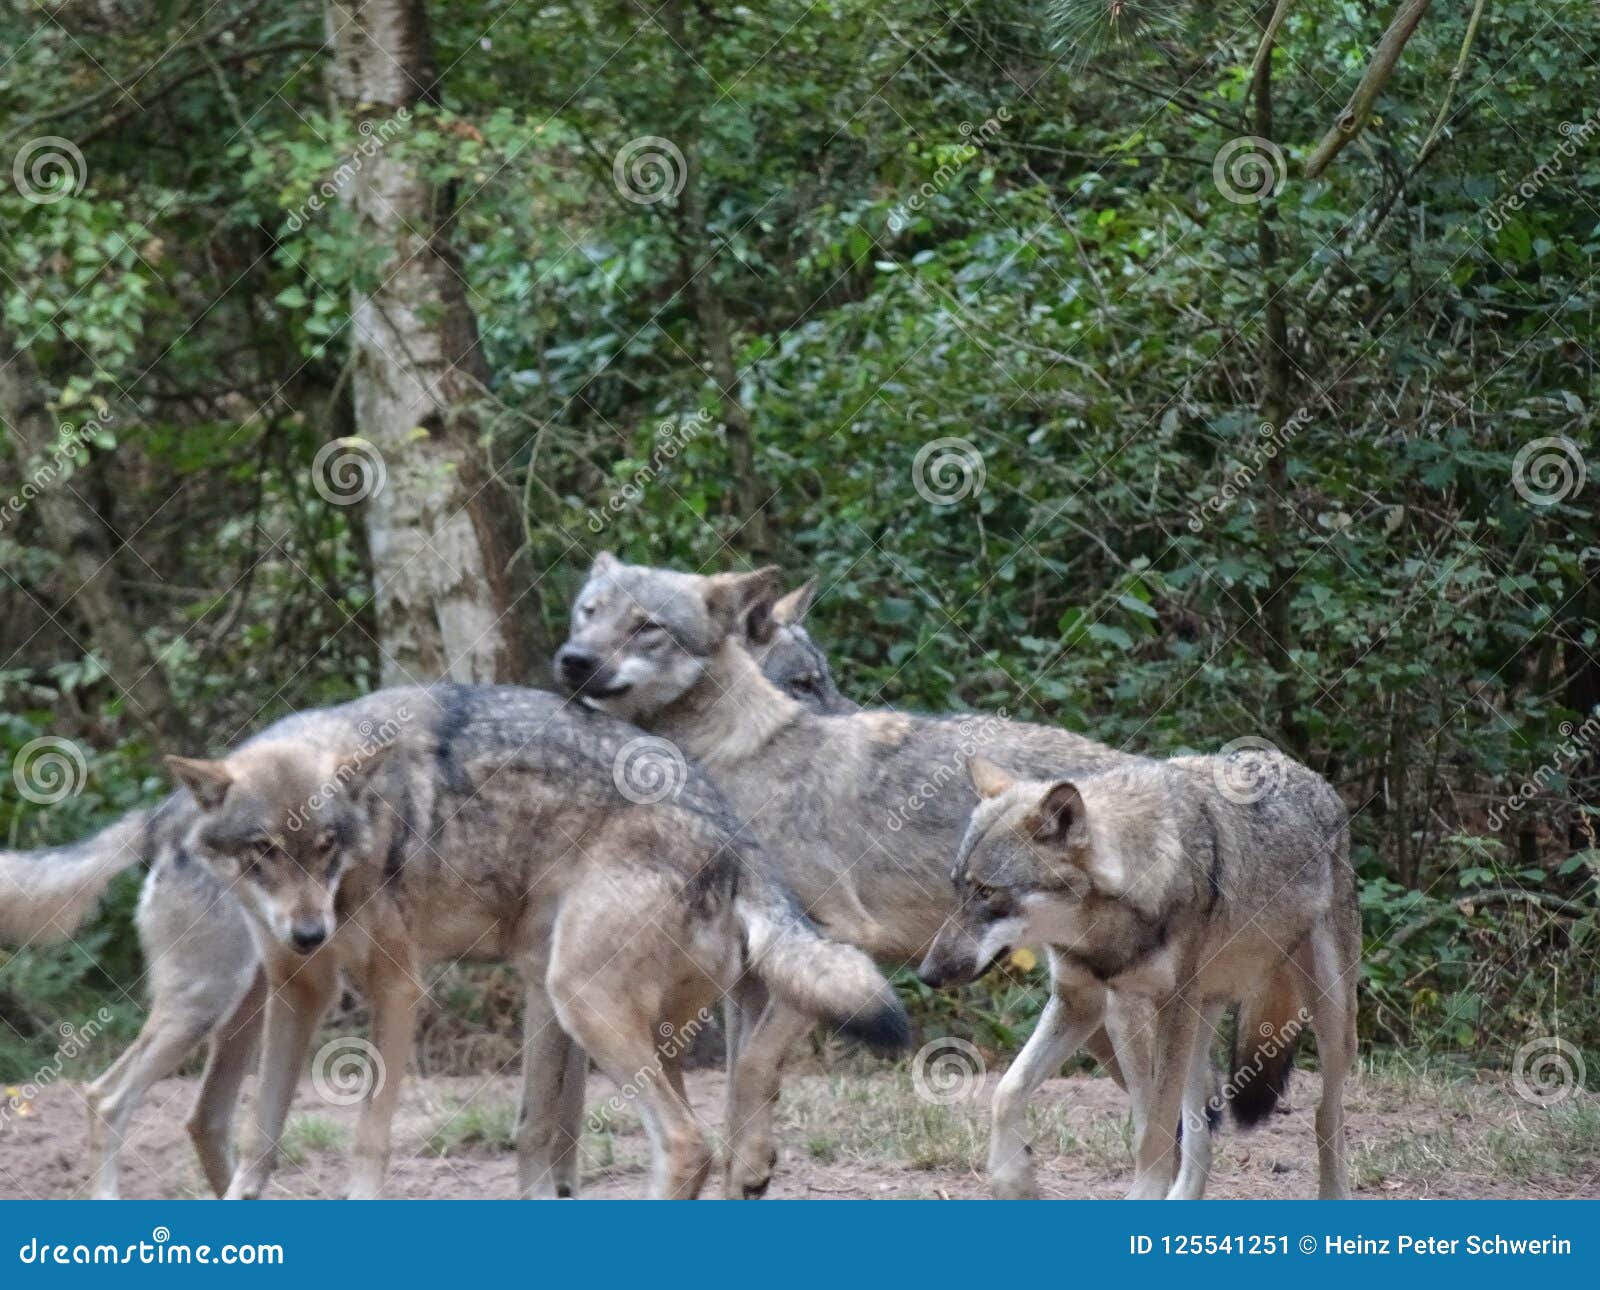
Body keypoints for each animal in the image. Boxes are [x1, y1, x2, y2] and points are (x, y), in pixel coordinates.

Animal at [0, 612, 838, 1202]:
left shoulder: (398, 988)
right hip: (226, 1004)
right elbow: (270, 1133)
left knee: (689, 1142)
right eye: (264, 851)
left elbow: (386, 1137)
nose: (309, 931)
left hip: (583, 1006)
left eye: (327, 846)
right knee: (122, 1102)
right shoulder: (309, 990)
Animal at [555, 554, 1231, 1197]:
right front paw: (747, 1175)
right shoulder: (754, 977)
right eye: (587, 614)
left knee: (1164, 1135)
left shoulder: (839, 939)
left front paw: (750, 1168)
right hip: (1088, 1014)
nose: (572, 659)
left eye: (647, 626)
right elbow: (739, 1094)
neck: (736, 759)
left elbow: (749, 1072)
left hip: (1126, 1022)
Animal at [919, 752, 1358, 1199]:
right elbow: (1007, 1092)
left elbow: (1156, 1132)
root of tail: (1303, 771)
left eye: (987, 892)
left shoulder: (1169, 1007)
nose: (926, 974)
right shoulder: (1088, 1003)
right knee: (1200, 1135)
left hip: (1329, 1013)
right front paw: (1015, 1181)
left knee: (1327, 1114)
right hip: (1184, 1024)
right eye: (957, 889)